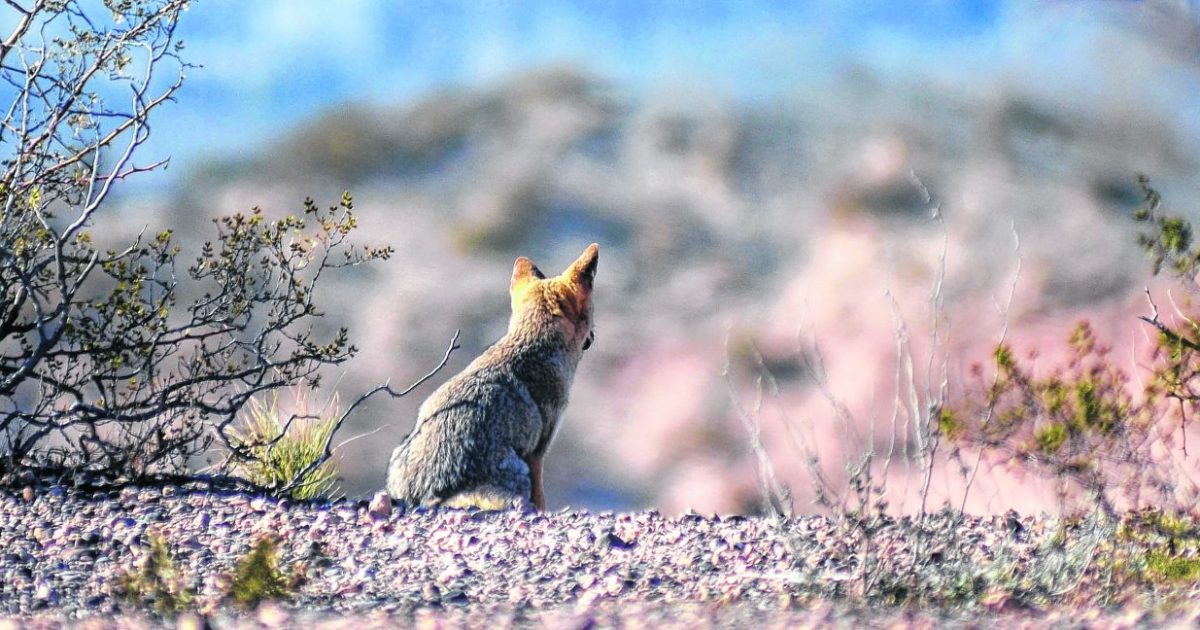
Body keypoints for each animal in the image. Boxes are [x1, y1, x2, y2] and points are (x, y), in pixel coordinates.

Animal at [386, 243, 599, 511]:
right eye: (592, 314)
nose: (593, 336)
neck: (532, 345)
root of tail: (422, 498)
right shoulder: (538, 452)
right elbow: (541, 499)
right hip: (519, 472)